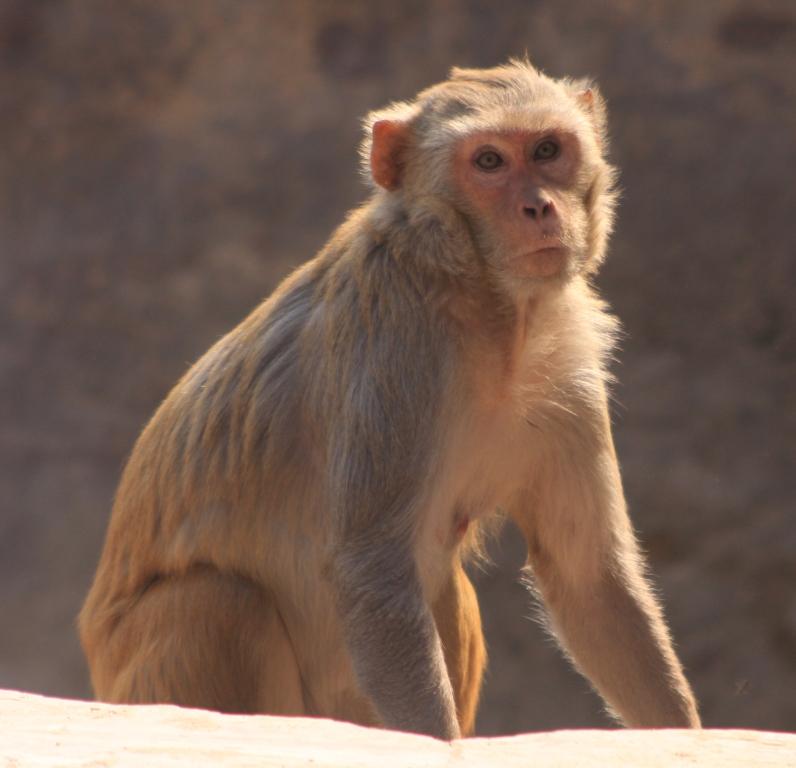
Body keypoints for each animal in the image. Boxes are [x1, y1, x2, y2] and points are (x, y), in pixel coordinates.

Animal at [79, 59, 701, 740]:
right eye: (488, 161)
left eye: (546, 150)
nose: (539, 206)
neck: (484, 302)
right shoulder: (397, 343)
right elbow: (371, 571)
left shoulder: (569, 371)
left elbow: (588, 576)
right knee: (222, 601)